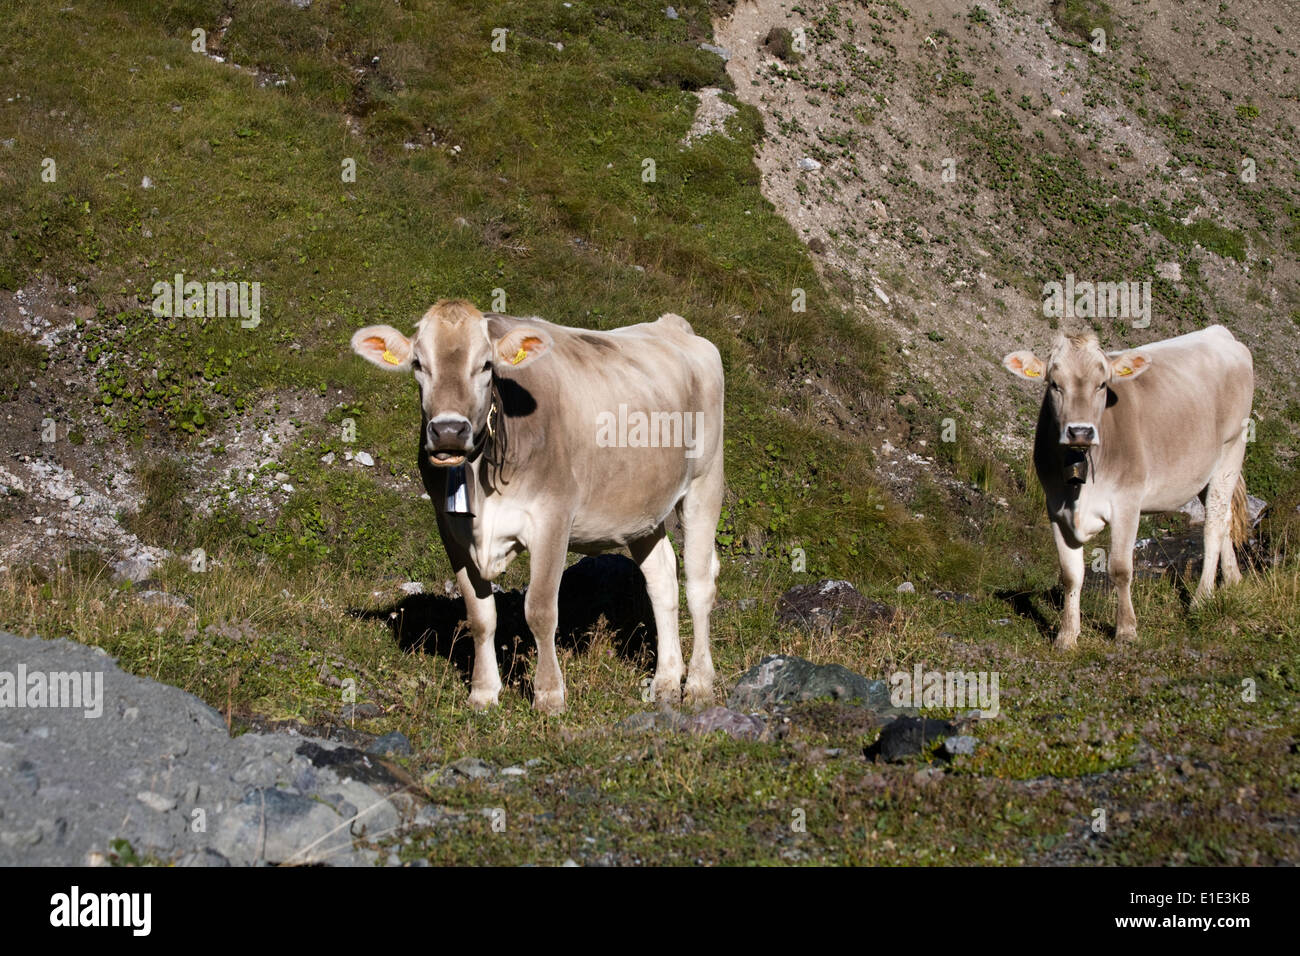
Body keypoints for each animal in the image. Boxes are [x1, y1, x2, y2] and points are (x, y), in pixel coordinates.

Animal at [351, 299, 725, 714]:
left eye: (486, 365)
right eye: (418, 363)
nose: (448, 431)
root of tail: (672, 326)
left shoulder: (553, 517)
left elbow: (541, 610)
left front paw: (549, 695)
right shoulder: (450, 528)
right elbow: (480, 614)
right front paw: (483, 692)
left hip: (704, 482)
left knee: (698, 585)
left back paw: (699, 684)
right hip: (641, 507)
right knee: (662, 582)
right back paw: (665, 682)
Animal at [1002, 325, 1253, 648]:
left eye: (1102, 385)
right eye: (1055, 385)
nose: (1080, 431)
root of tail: (1219, 333)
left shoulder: (1127, 503)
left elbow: (1120, 569)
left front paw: (1126, 630)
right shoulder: (1056, 508)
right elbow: (1070, 575)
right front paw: (1067, 635)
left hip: (1231, 451)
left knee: (1213, 525)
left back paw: (1201, 599)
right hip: (1204, 471)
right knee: (1224, 520)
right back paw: (1233, 581)